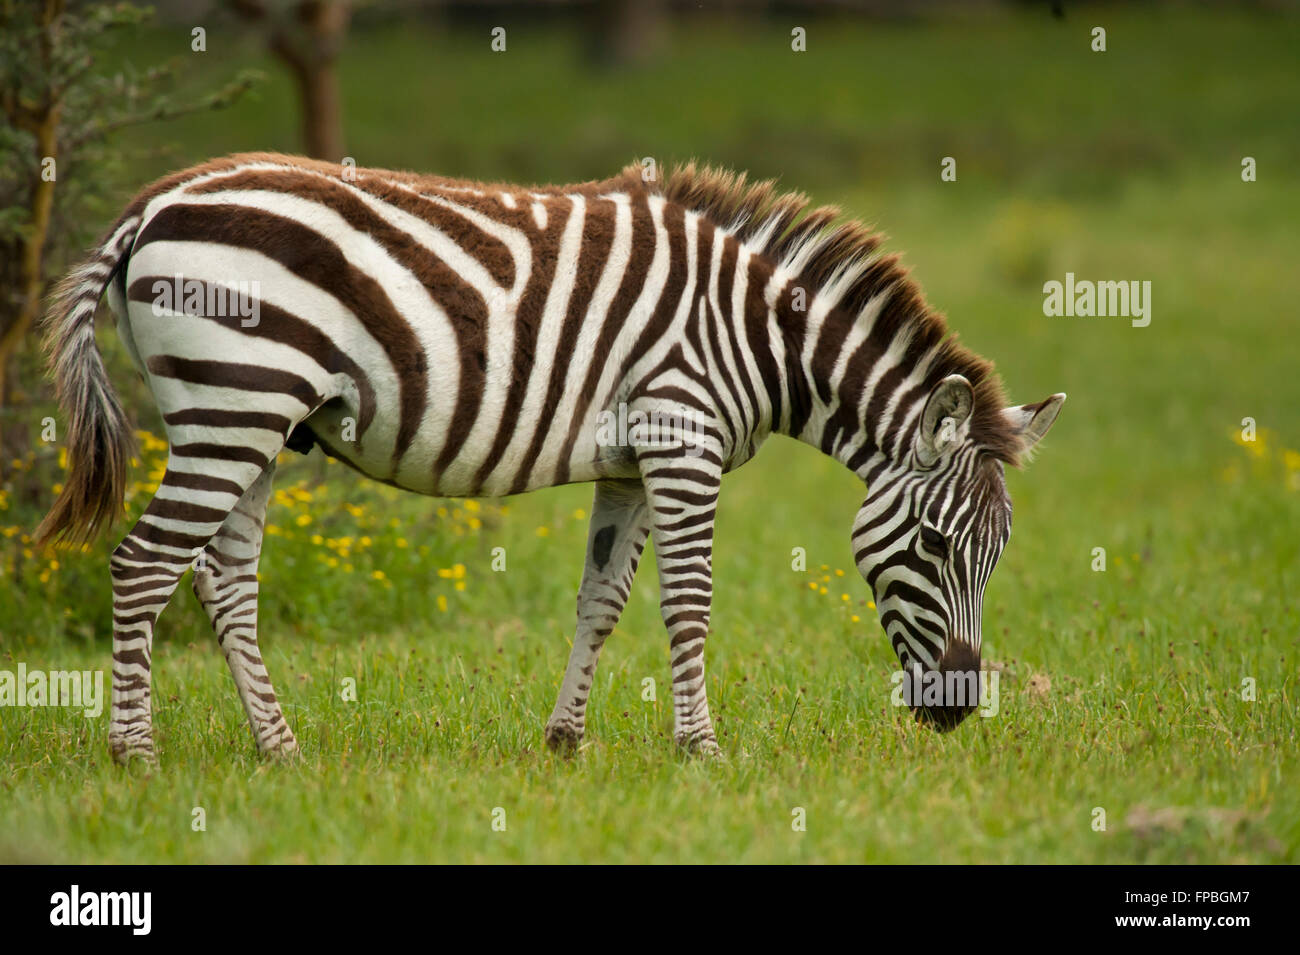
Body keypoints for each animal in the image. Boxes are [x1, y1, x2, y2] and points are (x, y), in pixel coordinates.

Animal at [36, 153, 1064, 763]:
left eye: (995, 557)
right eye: (933, 545)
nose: (957, 709)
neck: (762, 333)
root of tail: (154, 203)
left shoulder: (631, 461)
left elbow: (602, 601)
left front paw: (565, 739)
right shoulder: (682, 438)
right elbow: (688, 604)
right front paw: (701, 748)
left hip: (254, 421)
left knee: (222, 579)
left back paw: (279, 747)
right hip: (233, 404)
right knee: (143, 564)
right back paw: (135, 753)